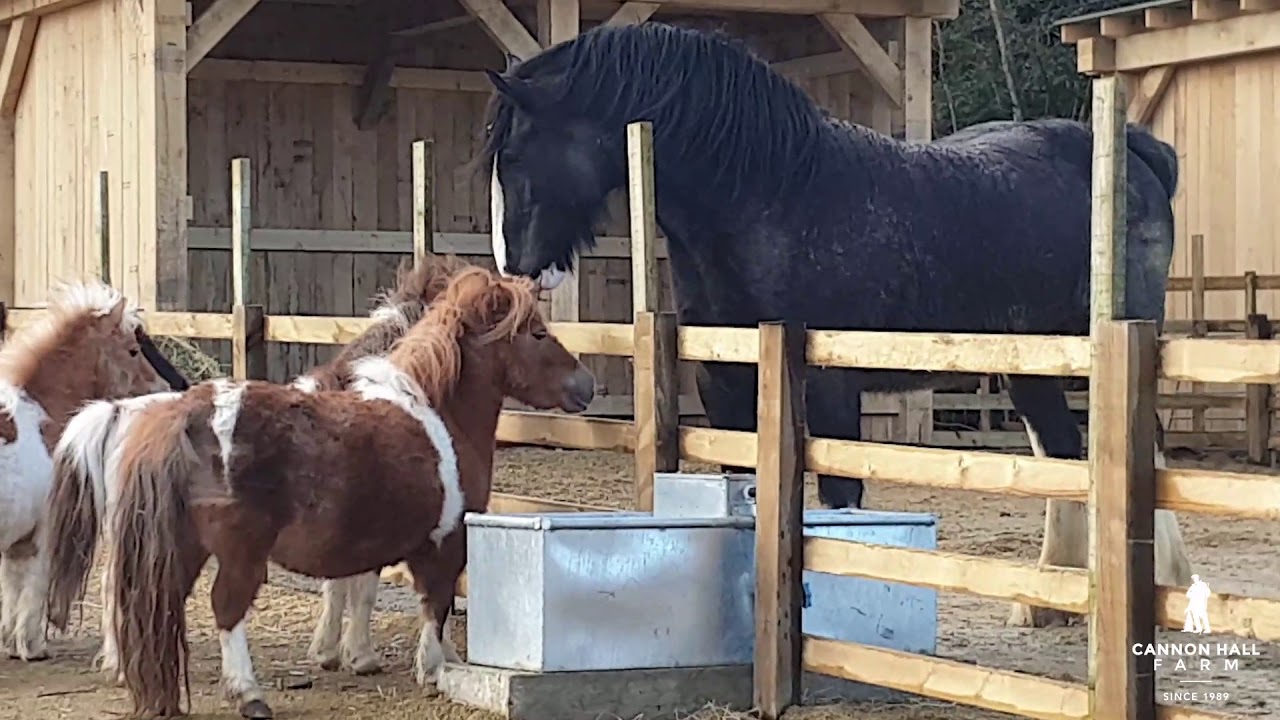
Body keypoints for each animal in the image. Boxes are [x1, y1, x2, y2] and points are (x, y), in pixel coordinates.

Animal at [0, 280, 187, 661]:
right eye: (133, 350)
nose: (170, 388)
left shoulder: (18, 542)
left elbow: (12, 589)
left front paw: (11, 643)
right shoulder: (43, 536)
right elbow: (34, 589)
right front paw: (32, 646)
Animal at [104, 265, 594, 719]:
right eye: (537, 332)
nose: (587, 384)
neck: (439, 411)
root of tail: (188, 416)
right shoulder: (444, 541)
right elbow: (434, 606)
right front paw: (432, 668)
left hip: (184, 548)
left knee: (163, 610)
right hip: (240, 554)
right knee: (226, 608)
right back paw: (248, 694)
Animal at [476, 21, 1193, 628]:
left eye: (517, 152)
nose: (518, 269)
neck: (771, 197)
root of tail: (1139, 151)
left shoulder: (829, 390)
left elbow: (843, 507)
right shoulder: (725, 388)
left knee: (1144, 449)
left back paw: (1171, 591)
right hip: (1034, 364)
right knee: (1063, 453)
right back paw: (1048, 603)